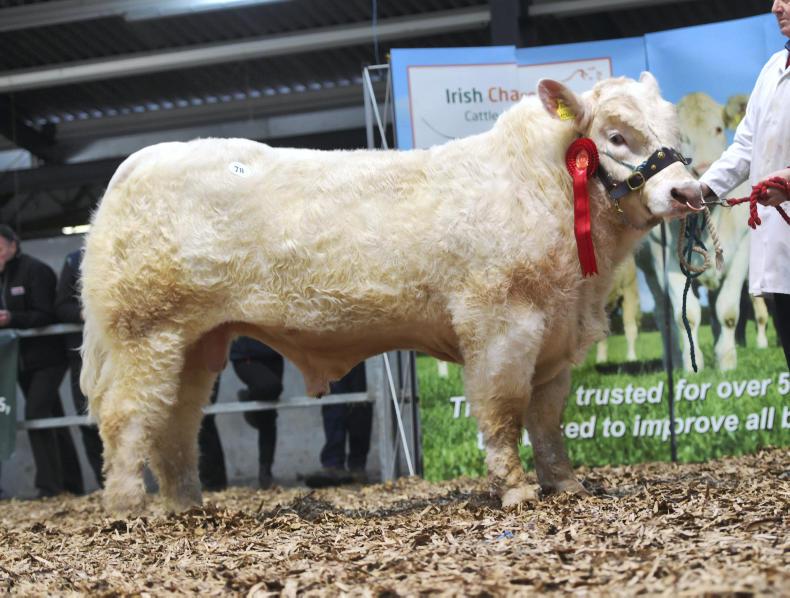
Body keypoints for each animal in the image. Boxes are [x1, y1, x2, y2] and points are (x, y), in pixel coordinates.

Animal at [80, 73, 702, 513]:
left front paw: (565, 484)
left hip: (195, 343)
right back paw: (127, 508)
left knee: (176, 422)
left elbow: (547, 419)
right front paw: (516, 491)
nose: (689, 192)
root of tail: (142, 159)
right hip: (145, 333)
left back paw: (185, 505)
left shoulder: (556, 335)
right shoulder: (500, 325)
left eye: (677, 136)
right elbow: (503, 410)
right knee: (127, 418)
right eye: (616, 136)